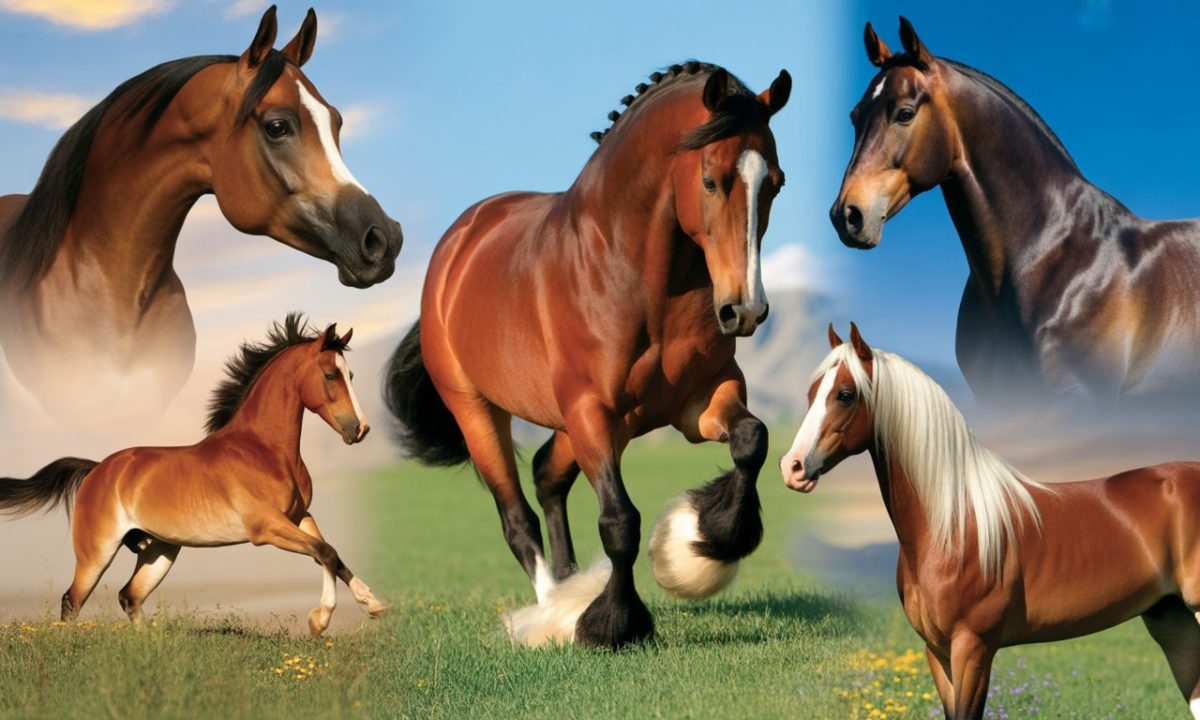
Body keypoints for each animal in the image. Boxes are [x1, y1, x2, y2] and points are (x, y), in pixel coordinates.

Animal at [0, 314, 385, 637]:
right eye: (330, 375)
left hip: (160, 551)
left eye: (350, 375)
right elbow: (324, 551)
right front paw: (320, 620)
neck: (263, 449)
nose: (361, 429)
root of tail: (97, 469)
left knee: (129, 595)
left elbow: (330, 553)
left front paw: (373, 603)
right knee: (73, 600)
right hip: (97, 552)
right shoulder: (266, 528)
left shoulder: (300, 516)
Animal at [383, 61, 791, 648]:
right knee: (518, 518)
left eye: (775, 183)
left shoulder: (703, 400)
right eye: (711, 180)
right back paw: (552, 613)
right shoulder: (589, 411)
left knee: (547, 478)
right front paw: (612, 624)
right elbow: (619, 522)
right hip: (481, 413)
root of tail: (455, 246)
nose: (746, 310)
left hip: (605, 425)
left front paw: (699, 546)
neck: (634, 278)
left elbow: (751, 441)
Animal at [781, 322, 1200, 720]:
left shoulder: (973, 647)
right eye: (812, 392)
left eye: (845, 394)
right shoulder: (937, 651)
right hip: (1172, 621)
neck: (952, 523)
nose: (792, 467)